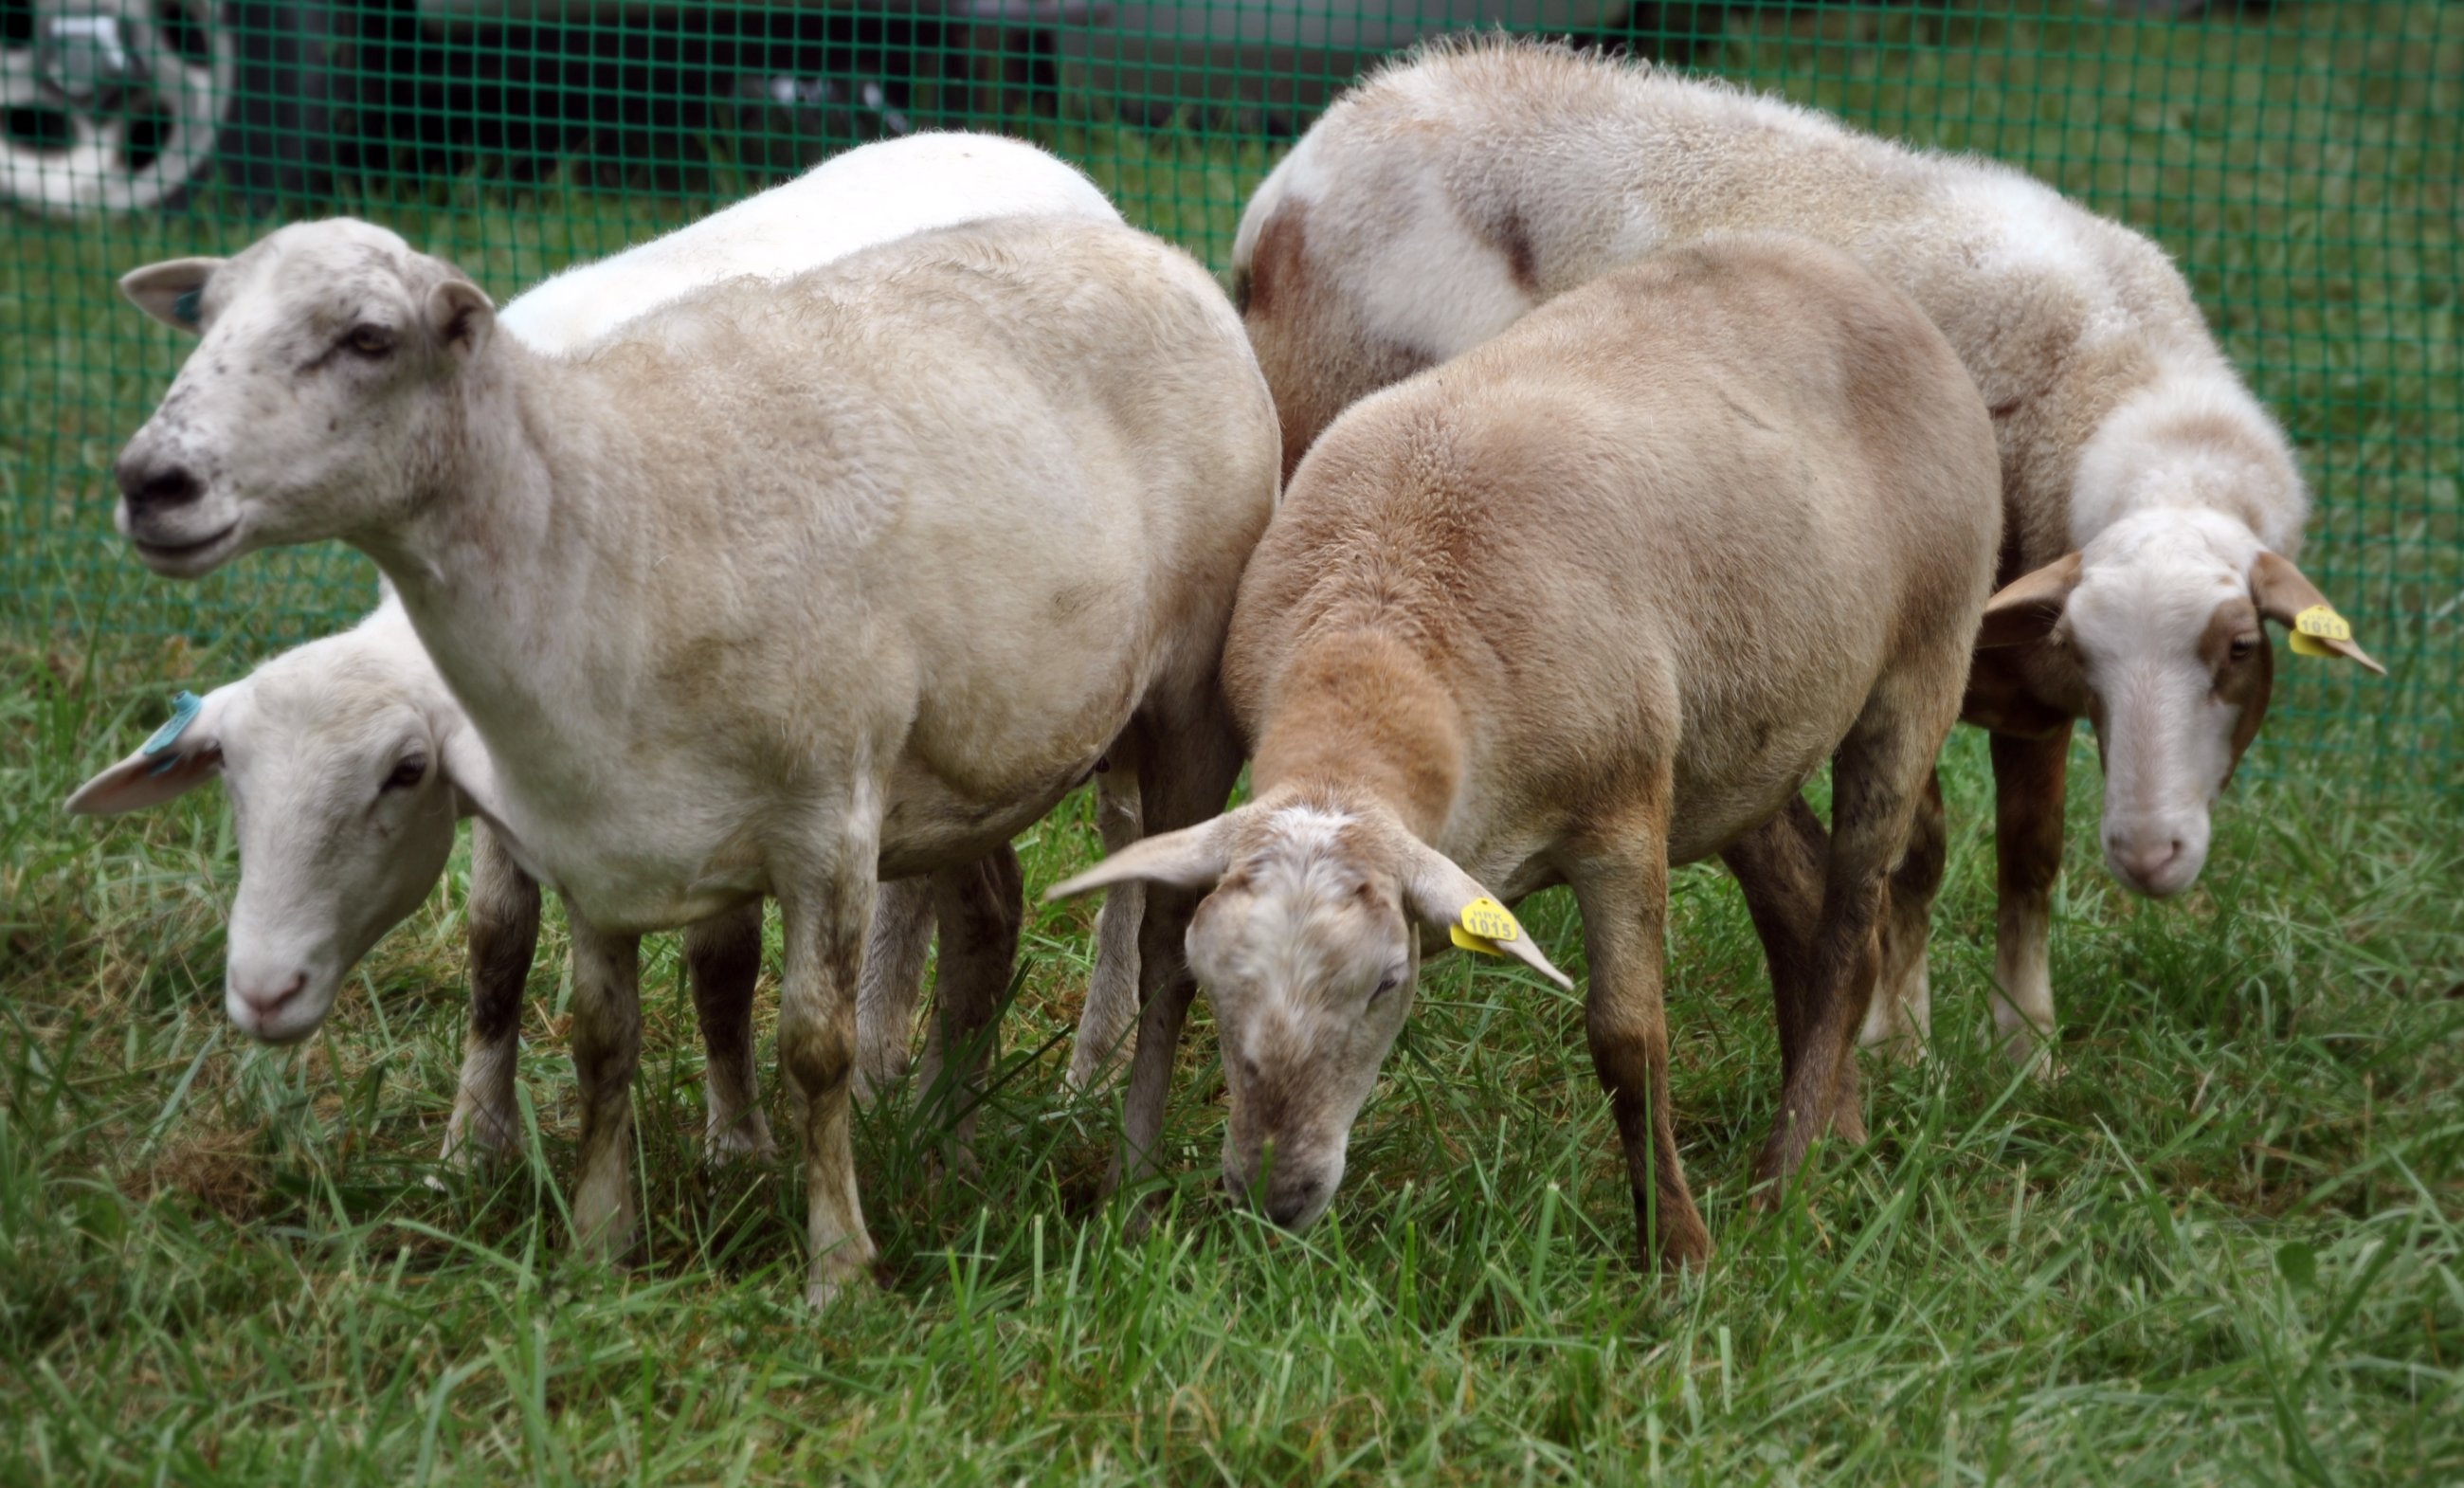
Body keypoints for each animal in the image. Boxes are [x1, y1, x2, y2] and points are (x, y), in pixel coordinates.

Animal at [107, 212, 1280, 1304]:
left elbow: (814, 1045)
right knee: (988, 918)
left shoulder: (827, 821)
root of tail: (1149, 245)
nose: (149, 482)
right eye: (207, 319)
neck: (608, 532)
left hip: (1180, 711)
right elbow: (598, 1037)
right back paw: (946, 1148)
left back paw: (1130, 1178)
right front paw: (598, 1247)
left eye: (366, 337)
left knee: (1167, 952)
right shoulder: (591, 839)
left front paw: (837, 1270)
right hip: (972, 756)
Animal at [1051, 235, 2000, 1265]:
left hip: (1921, 660)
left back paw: (1780, 1181)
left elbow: (1627, 1041)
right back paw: (1836, 1135)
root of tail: (1848, 273)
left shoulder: (1623, 820)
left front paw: (1678, 1254)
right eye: (1218, 983)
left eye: (1387, 984)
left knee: (1849, 926)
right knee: (1799, 898)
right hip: (1737, 737)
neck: (1386, 610)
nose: (1274, 1196)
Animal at [1230, 39, 2385, 1069]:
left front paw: (2024, 1050)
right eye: (2096, 644)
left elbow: (2029, 859)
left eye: (2240, 648)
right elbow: (1914, 857)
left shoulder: (2024, 692)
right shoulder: (1914, 652)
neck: (2100, 369)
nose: (2150, 857)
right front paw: (1895, 1043)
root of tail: (1331, 132)